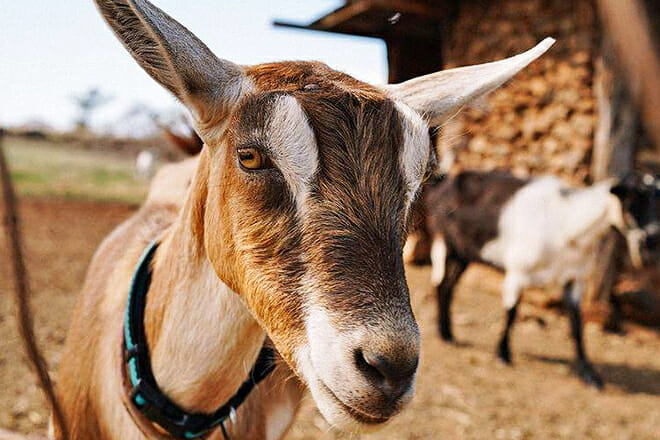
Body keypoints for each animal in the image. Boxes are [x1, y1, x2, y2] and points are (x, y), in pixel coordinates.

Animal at [424, 170, 660, 388]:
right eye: (631, 198)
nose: (652, 240)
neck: (568, 225)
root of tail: (442, 186)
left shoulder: (574, 279)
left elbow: (577, 325)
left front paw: (589, 374)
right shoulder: (517, 271)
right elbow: (512, 312)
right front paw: (503, 354)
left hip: (464, 253)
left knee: (449, 286)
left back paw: (448, 333)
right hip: (442, 242)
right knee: (440, 283)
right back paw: (444, 334)